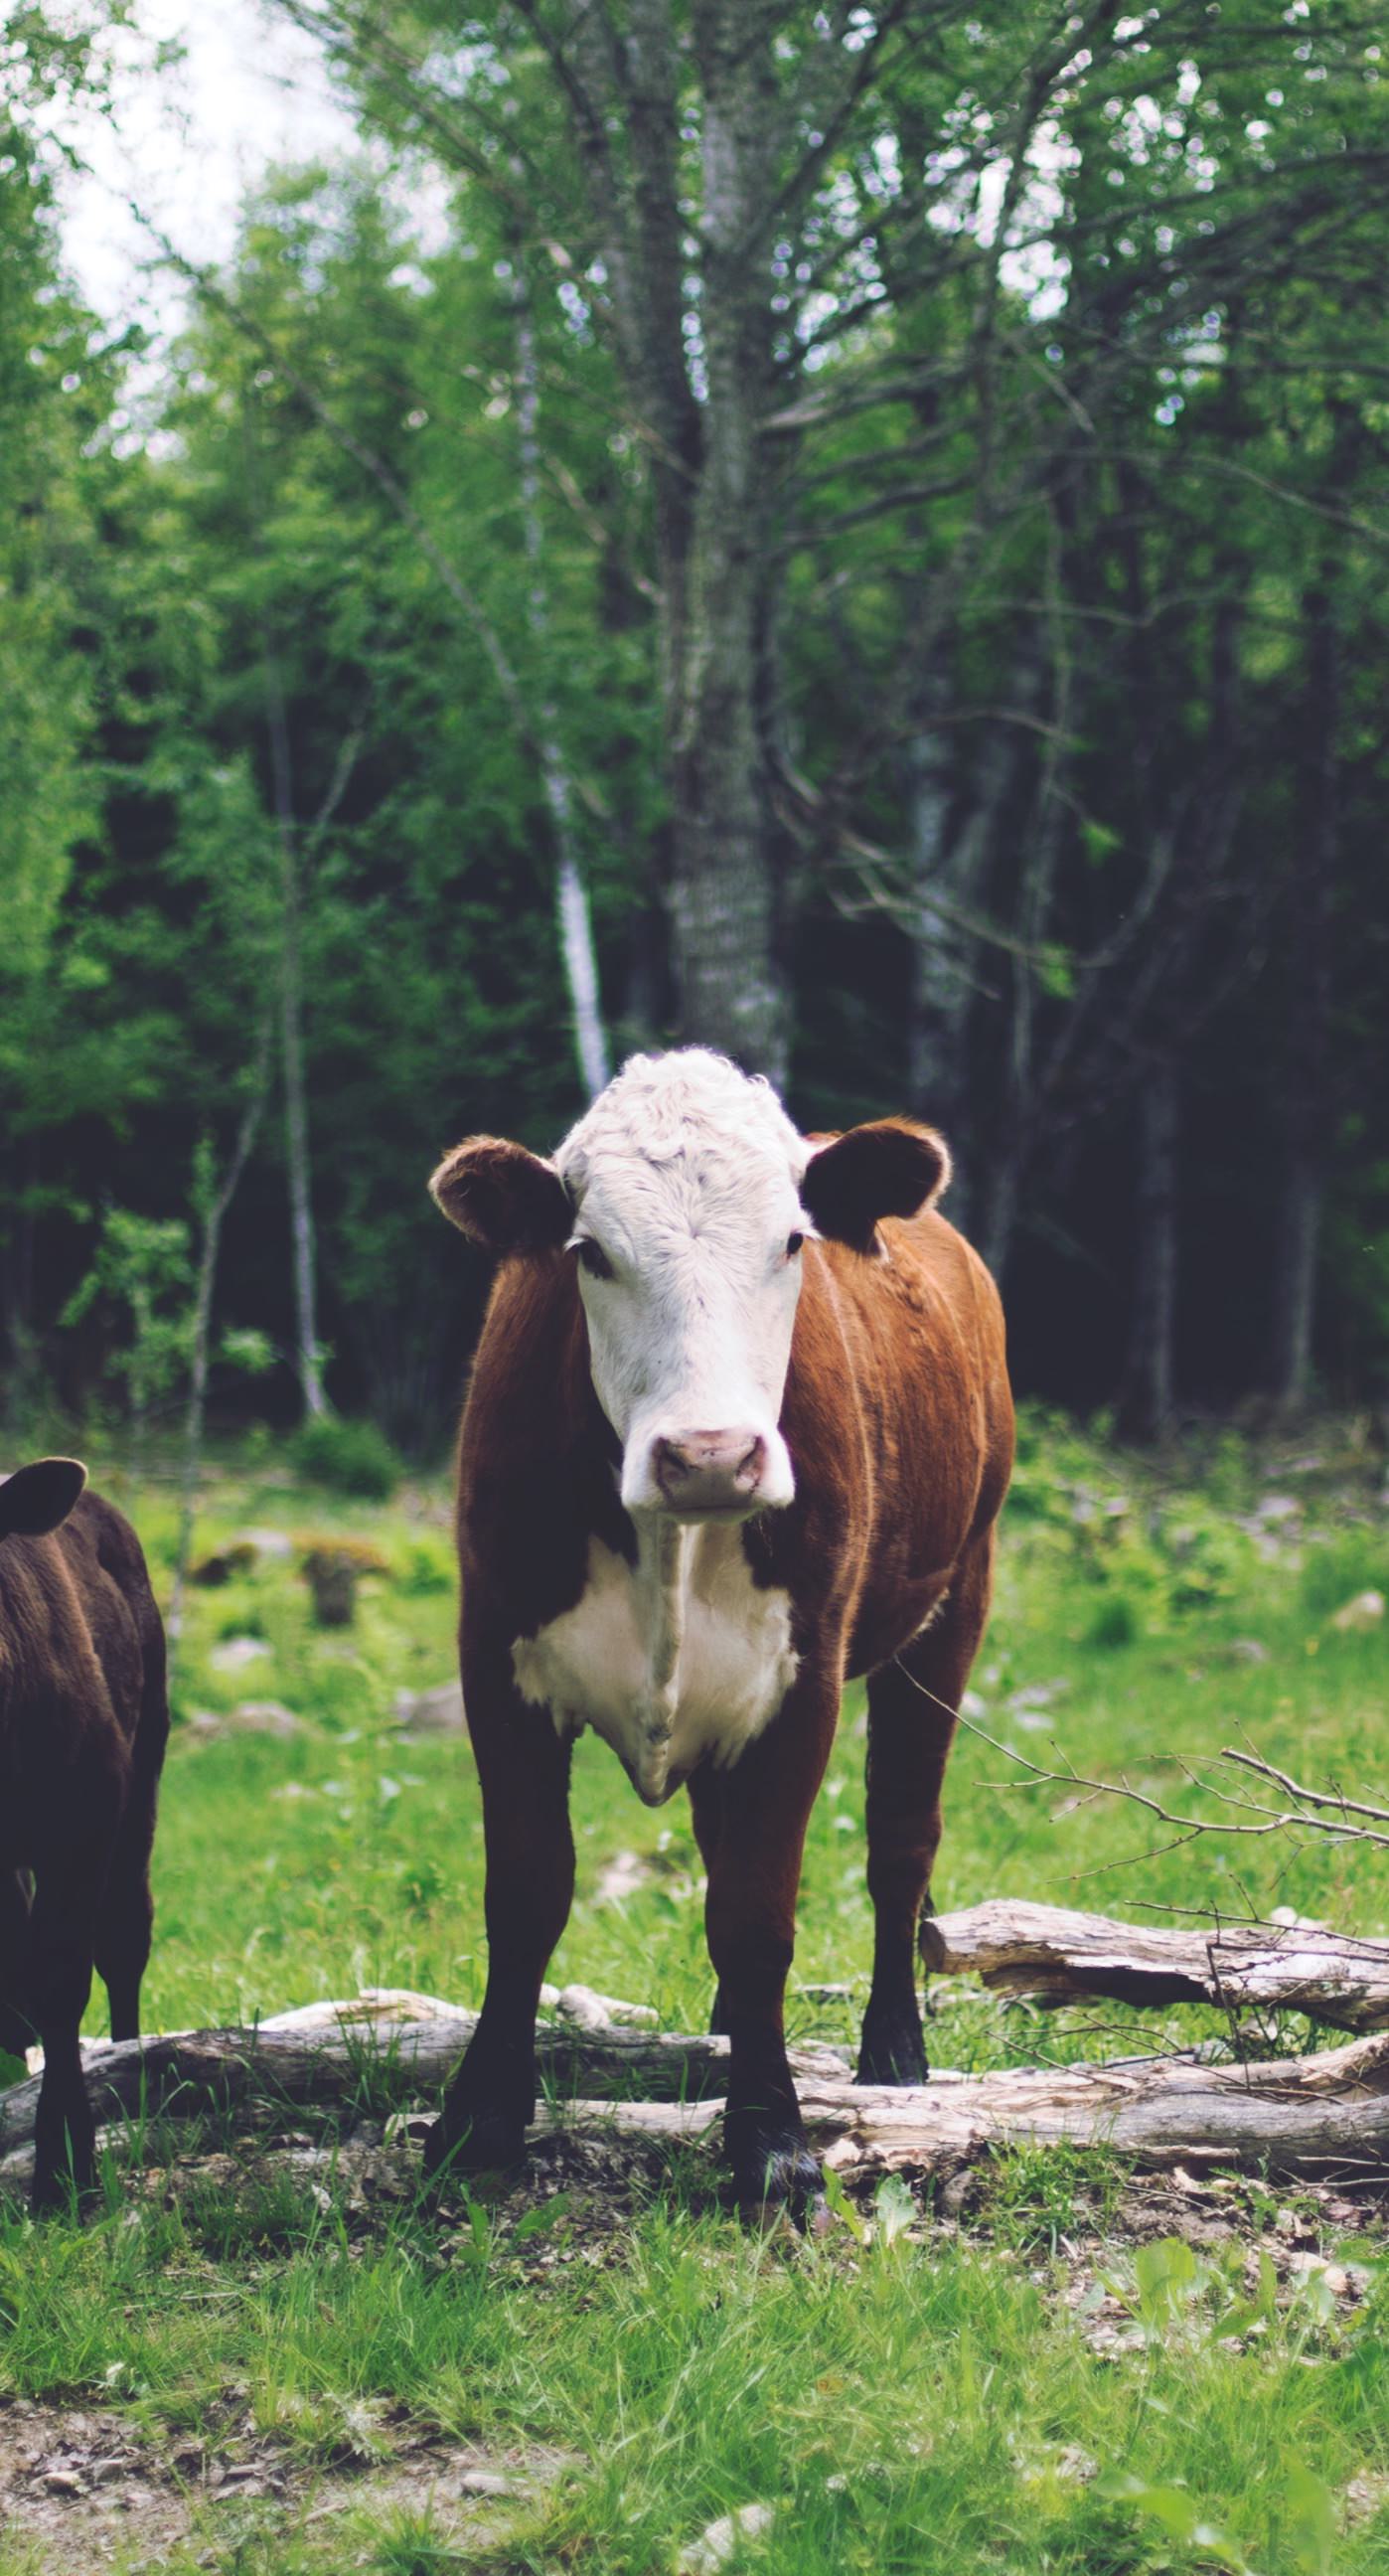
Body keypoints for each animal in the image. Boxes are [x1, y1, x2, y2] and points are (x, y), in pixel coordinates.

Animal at [425, 1049, 1013, 2219]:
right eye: (590, 1252)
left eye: (790, 1241)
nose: (707, 1455)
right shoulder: (496, 1659)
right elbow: (528, 1893)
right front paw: (479, 2121)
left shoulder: (804, 1683)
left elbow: (756, 1913)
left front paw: (772, 2141)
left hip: (952, 1608)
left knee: (901, 1841)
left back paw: (892, 2052)